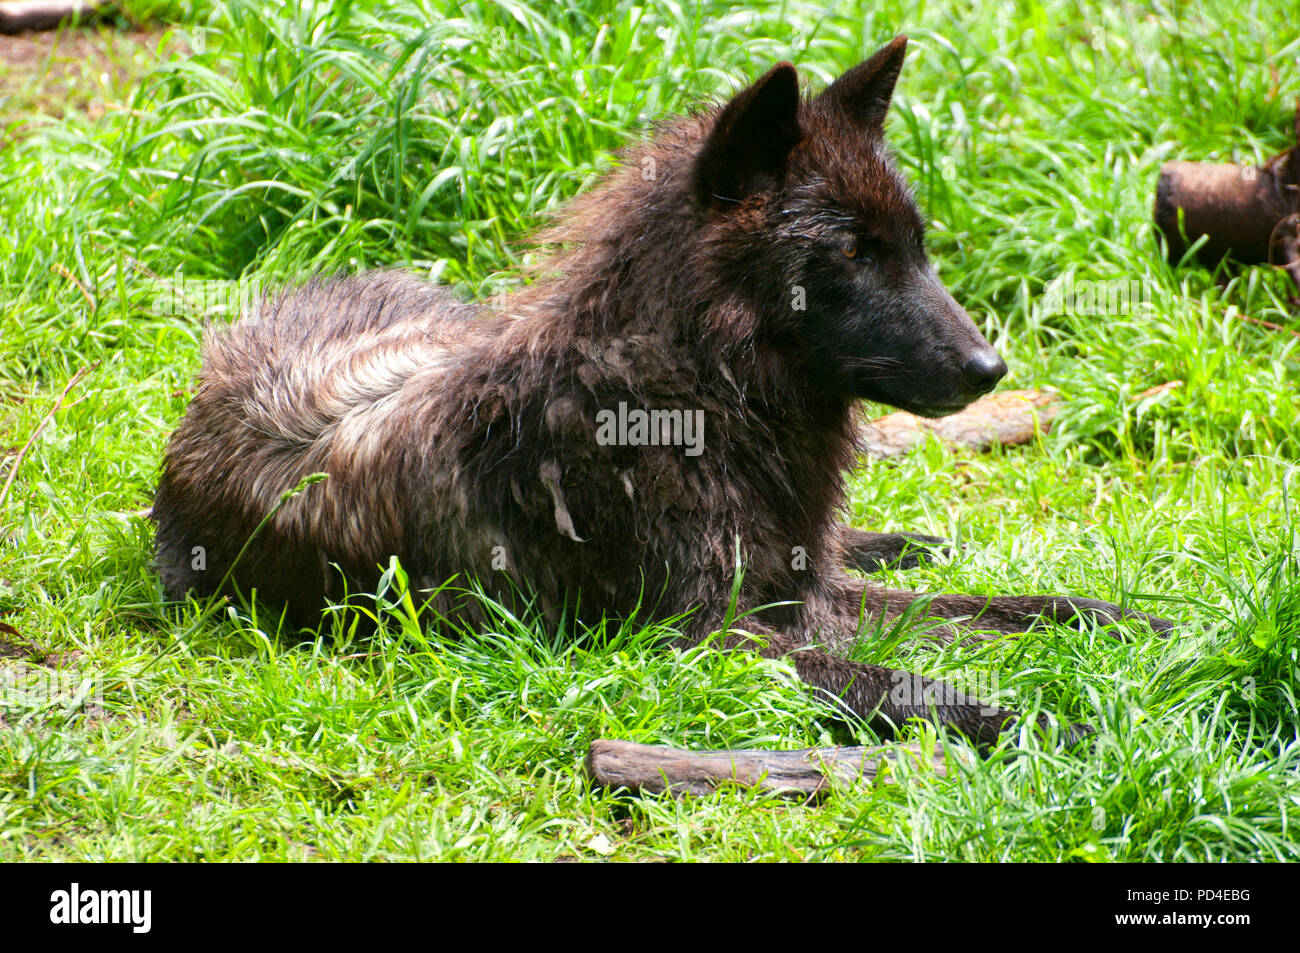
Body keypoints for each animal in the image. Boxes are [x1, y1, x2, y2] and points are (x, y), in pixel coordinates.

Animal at [152, 37, 1172, 745]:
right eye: (852, 252)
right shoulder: (700, 641)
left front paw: (1135, 623)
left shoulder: (801, 595)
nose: (989, 369)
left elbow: (1007, 608)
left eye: (917, 245)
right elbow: (908, 681)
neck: (699, 397)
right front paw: (1055, 725)